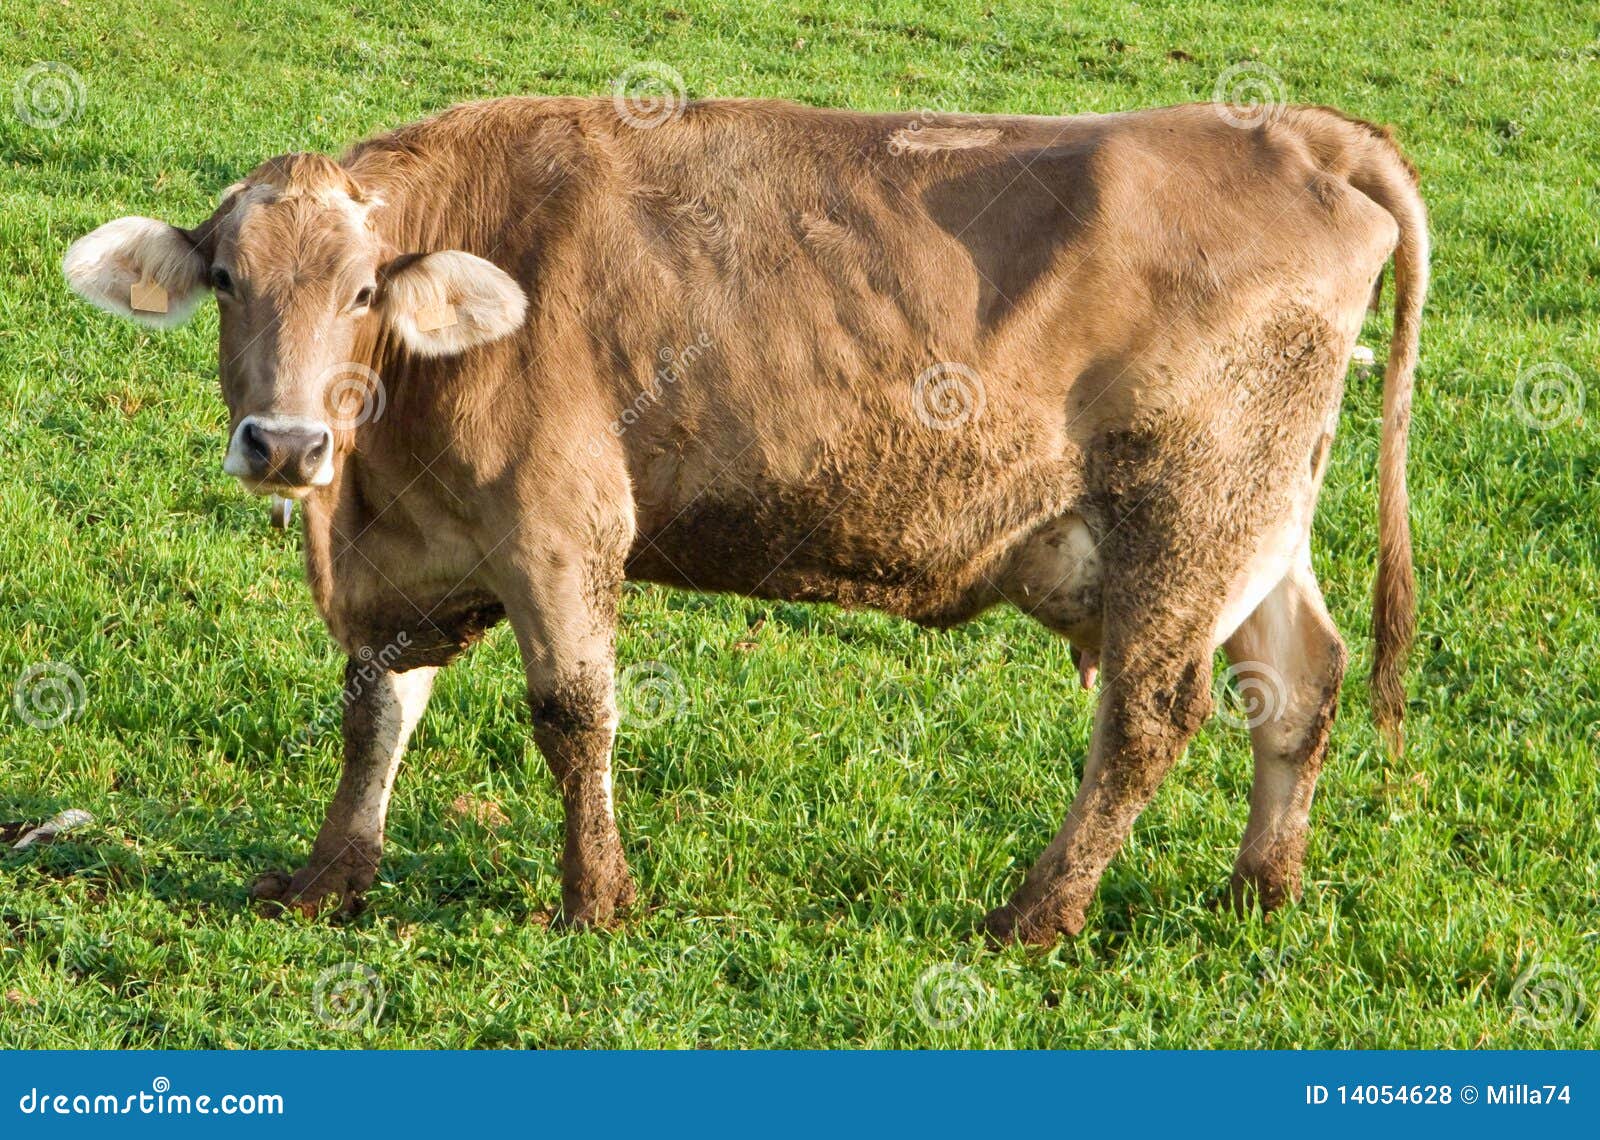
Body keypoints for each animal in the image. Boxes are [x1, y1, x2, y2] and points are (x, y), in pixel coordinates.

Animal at [63, 96, 1426, 943]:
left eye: (359, 291)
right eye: (227, 280)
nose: (287, 443)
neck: (369, 488)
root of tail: (1301, 131)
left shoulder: (560, 523)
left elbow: (573, 715)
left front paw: (595, 899)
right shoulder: (412, 556)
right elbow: (376, 709)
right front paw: (330, 878)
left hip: (1187, 515)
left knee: (1148, 717)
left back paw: (1033, 916)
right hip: (1262, 520)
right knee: (1297, 682)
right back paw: (1259, 889)